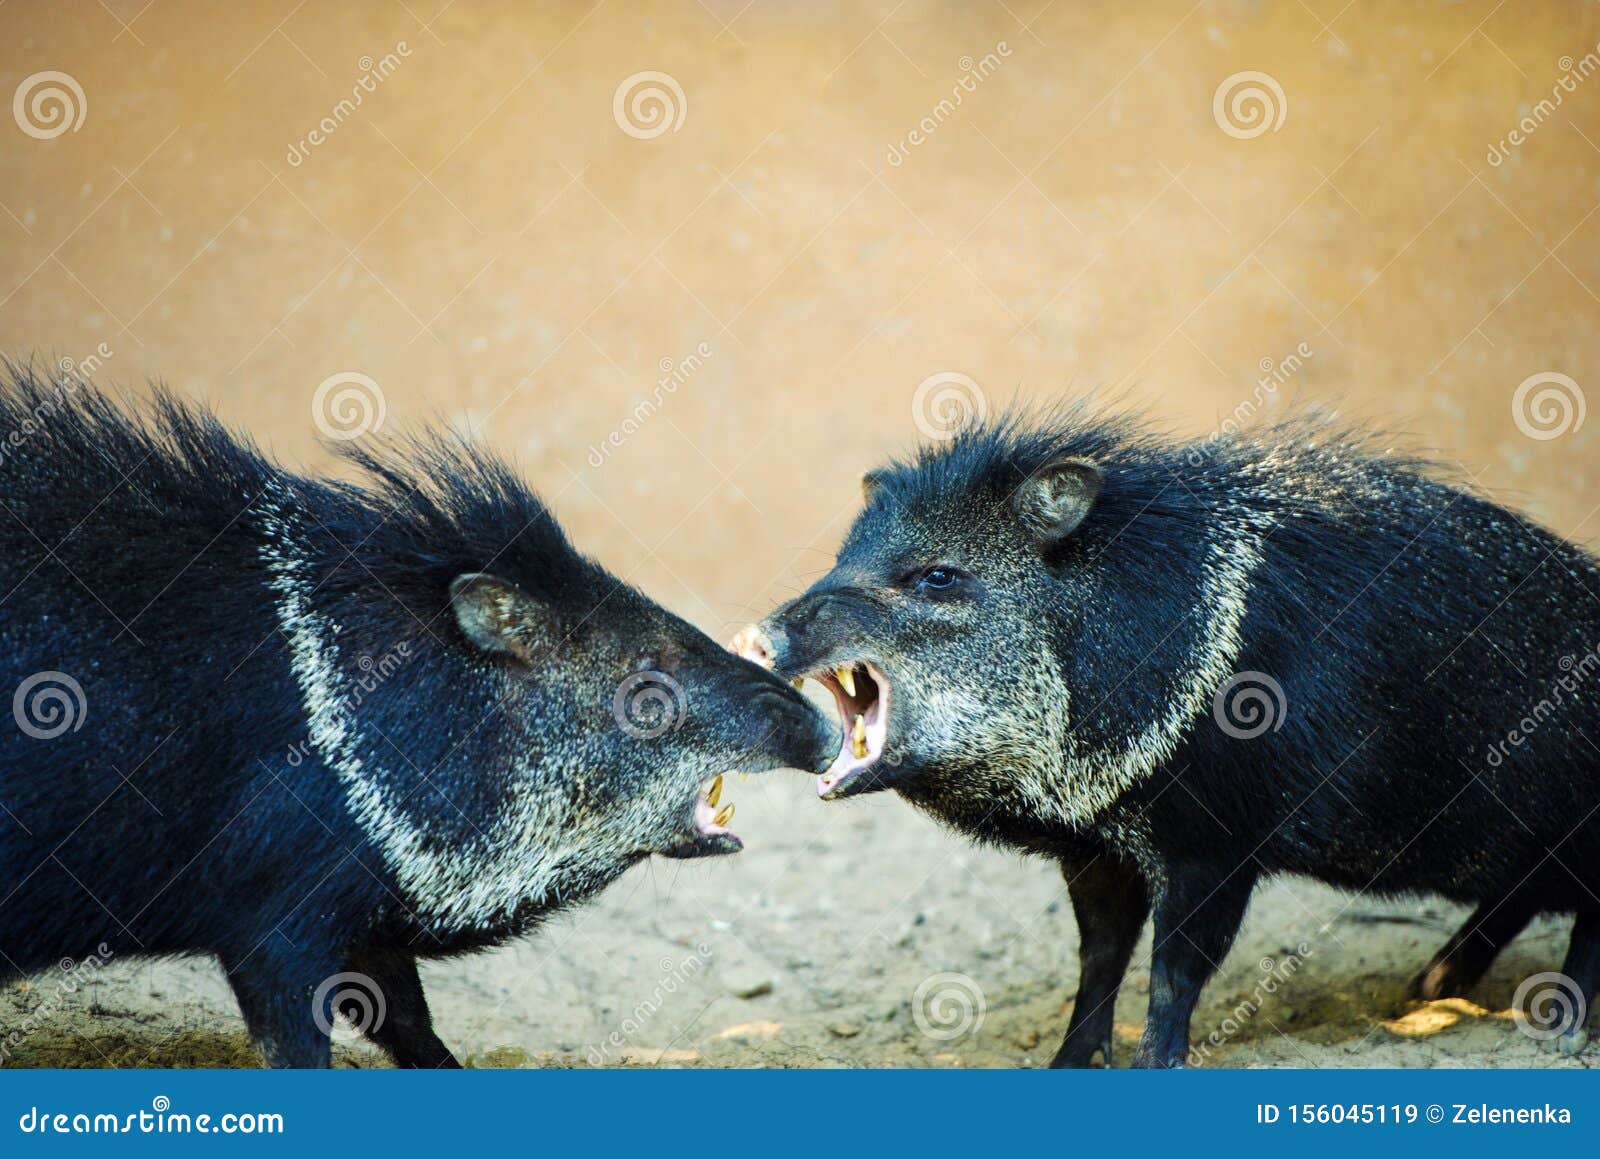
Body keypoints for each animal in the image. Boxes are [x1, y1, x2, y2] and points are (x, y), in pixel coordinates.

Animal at [0, 367, 836, 1067]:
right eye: (645, 685)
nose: (827, 733)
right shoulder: (279, 912)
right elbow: (301, 1036)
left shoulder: (363, 905)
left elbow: (406, 1018)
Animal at [736, 405, 1600, 1067]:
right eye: (843, 557)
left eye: (938, 576)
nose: (755, 636)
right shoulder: (1097, 848)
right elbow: (1101, 958)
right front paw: (1068, 1062)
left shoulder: (1213, 846)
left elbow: (1175, 971)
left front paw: (1154, 1063)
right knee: (1521, 897)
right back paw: (1432, 986)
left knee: (1582, 912)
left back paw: (1560, 1023)